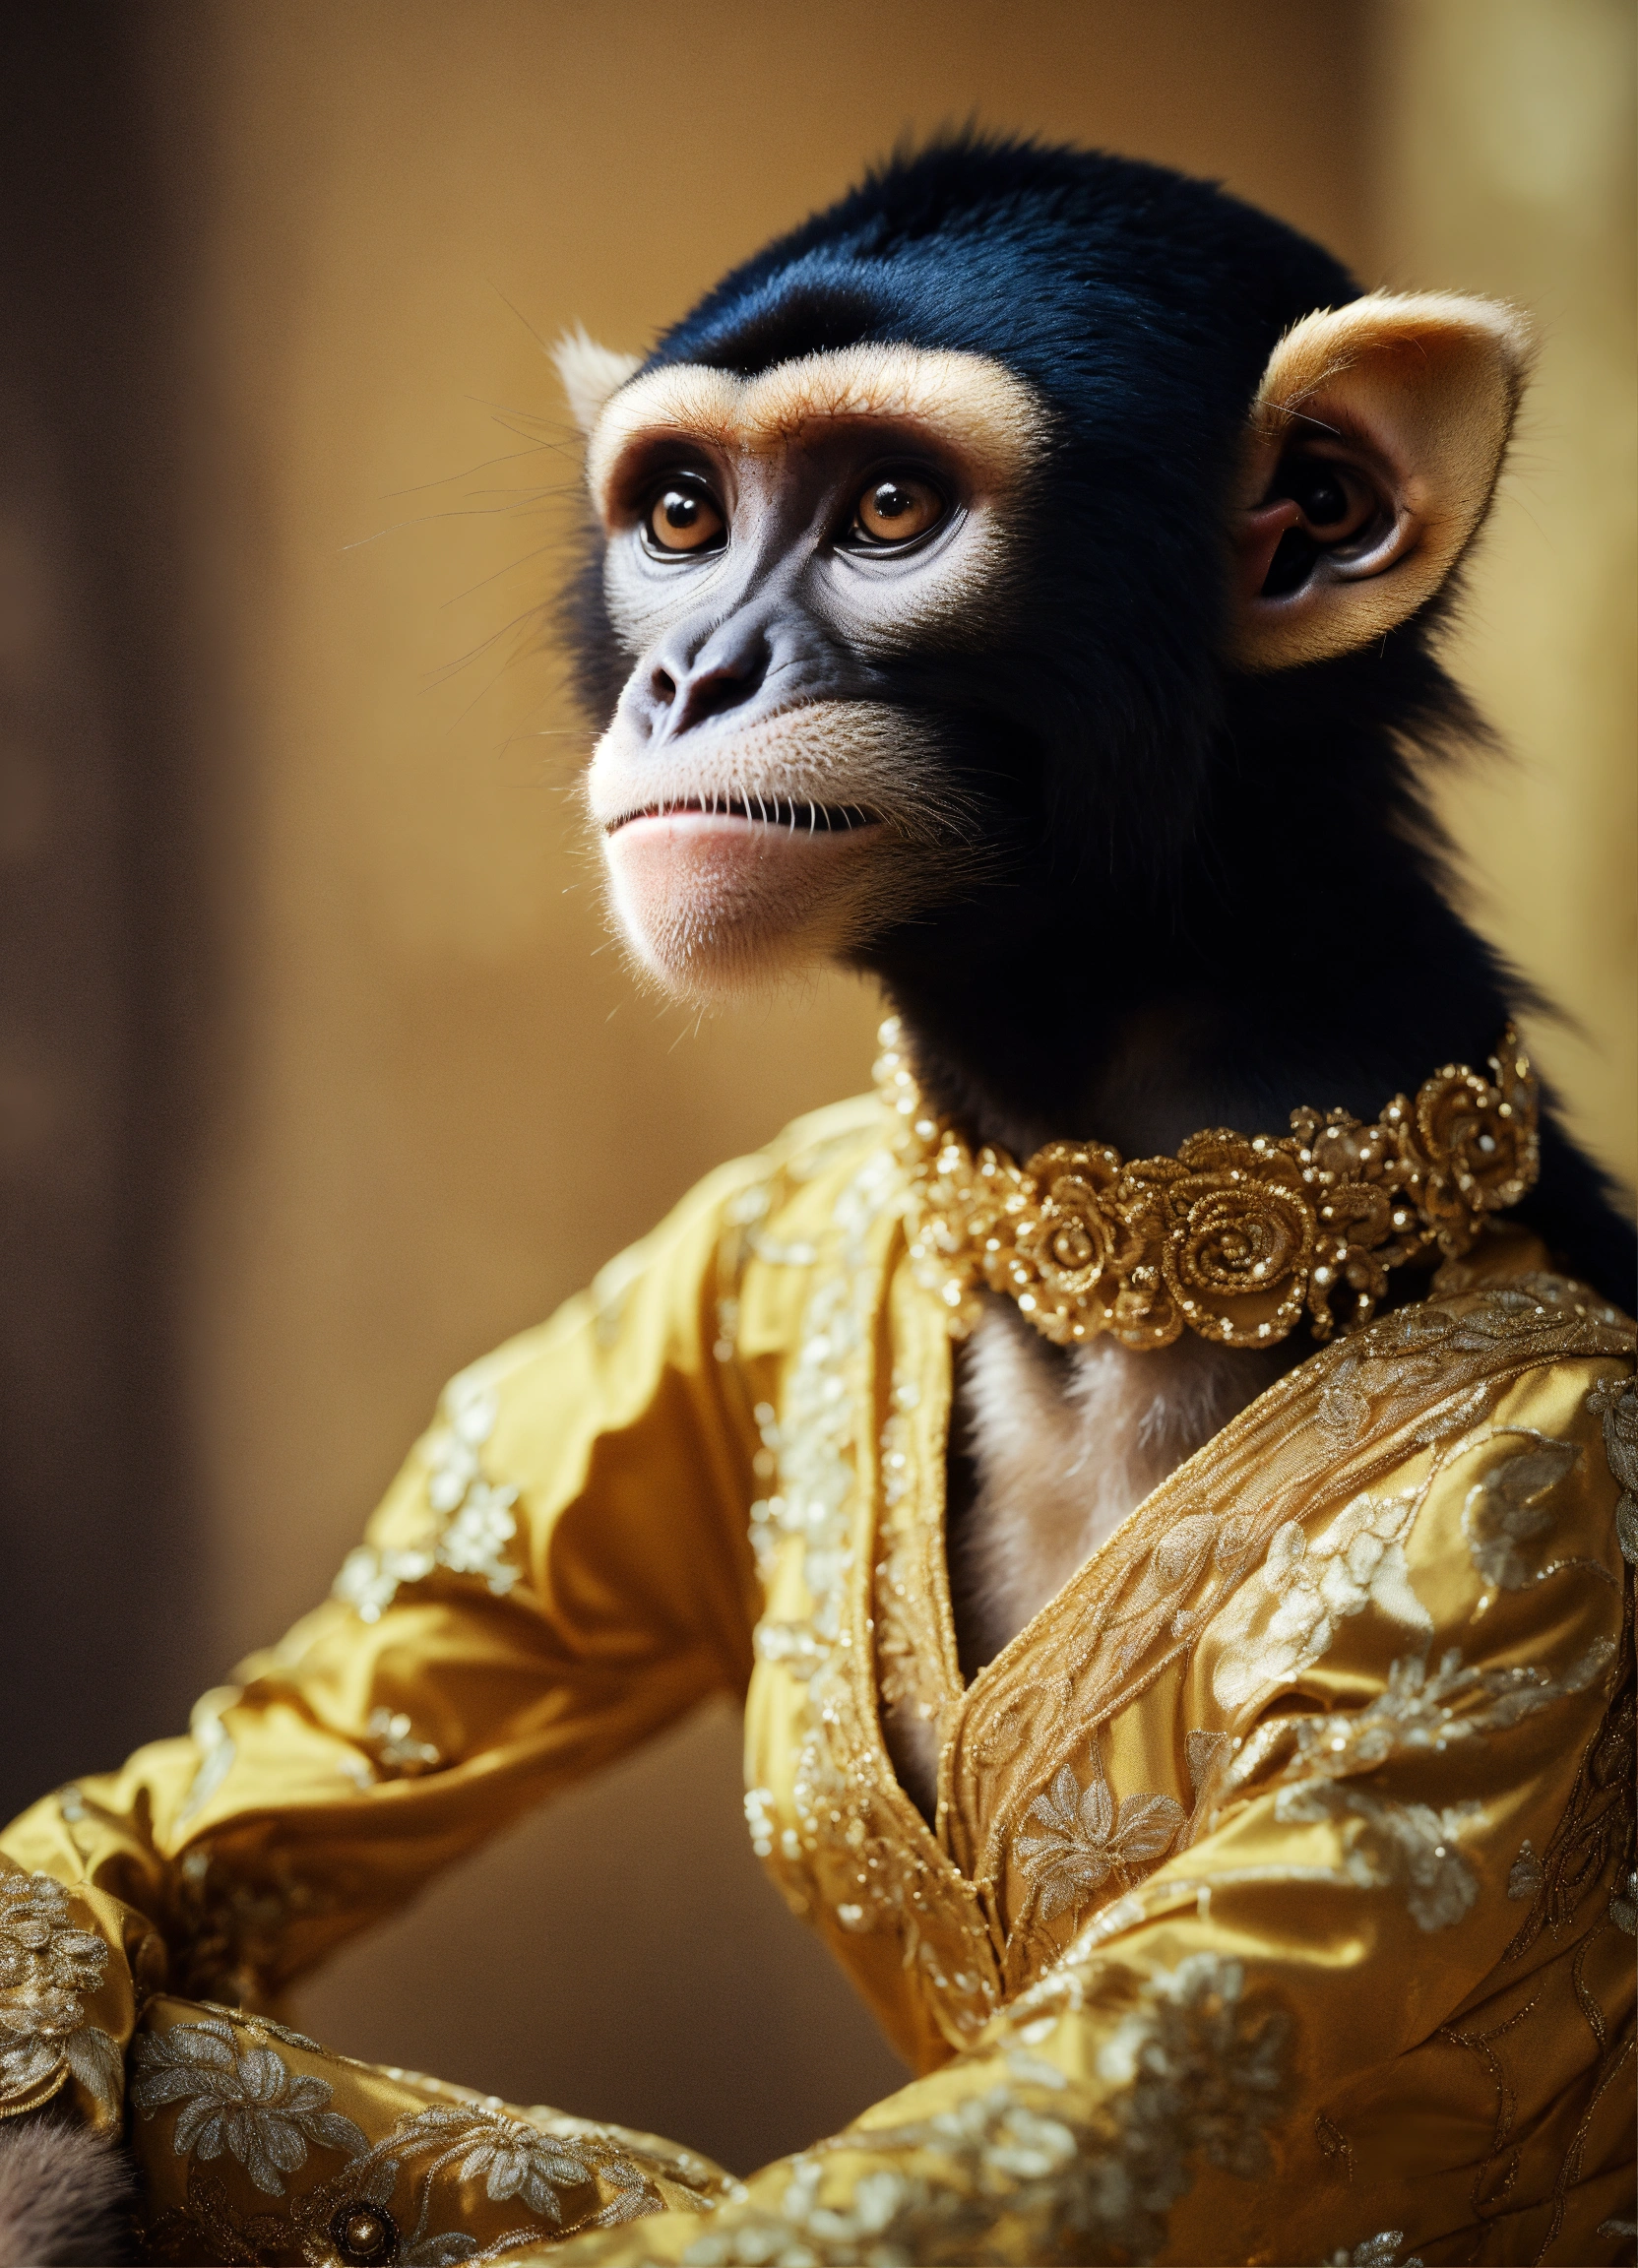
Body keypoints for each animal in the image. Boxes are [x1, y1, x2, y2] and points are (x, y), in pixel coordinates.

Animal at [3, 136, 1633, 2268]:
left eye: (885, 510)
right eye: (683, 515)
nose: (692, 670)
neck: (1140, 1197)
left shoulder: (1521, 1523)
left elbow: (1102, 2101)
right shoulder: (744, 1229)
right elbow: (215, 1776)